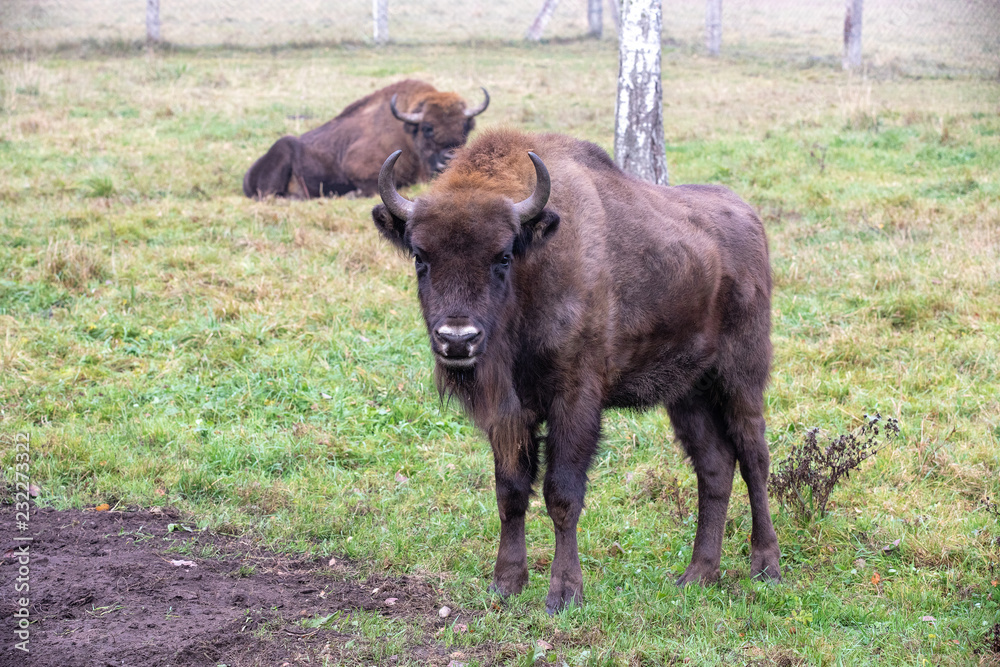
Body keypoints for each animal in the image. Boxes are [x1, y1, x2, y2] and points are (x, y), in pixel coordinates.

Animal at [243, 80, 489, 199]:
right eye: (427, 128)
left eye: (465, 127)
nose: (448, 158)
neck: (406, 135)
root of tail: (248, 174)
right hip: (283, 149)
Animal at [372, 128, 782, 613]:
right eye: (420, 256)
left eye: (503, 255)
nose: (458, 339)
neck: (535, 268)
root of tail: (749, 217)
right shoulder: (512, 415)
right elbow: (510, 492)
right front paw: (506, 583)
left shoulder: (576, 400)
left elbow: (562, 493)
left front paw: (564, 593)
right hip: (687, 393)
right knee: (715, 467)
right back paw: (698, 575)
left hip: (741, 377)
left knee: (754, 458)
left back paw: (766, 567)